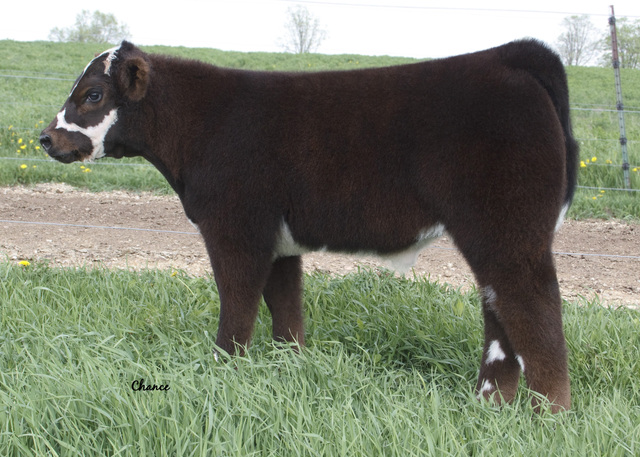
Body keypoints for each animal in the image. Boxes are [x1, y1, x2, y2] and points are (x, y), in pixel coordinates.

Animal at [40, 39, 578, 413]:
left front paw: (223, 369)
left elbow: (236, 306)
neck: (202, 127)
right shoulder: (279, 241)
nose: (44, 138)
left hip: (506, 232)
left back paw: (549, 415)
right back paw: (490, 403)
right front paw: (289, 370)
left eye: (92, 94)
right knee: (500, 312)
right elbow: (285, 309)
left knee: (535, 309)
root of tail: (507, 57)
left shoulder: (234, 230)